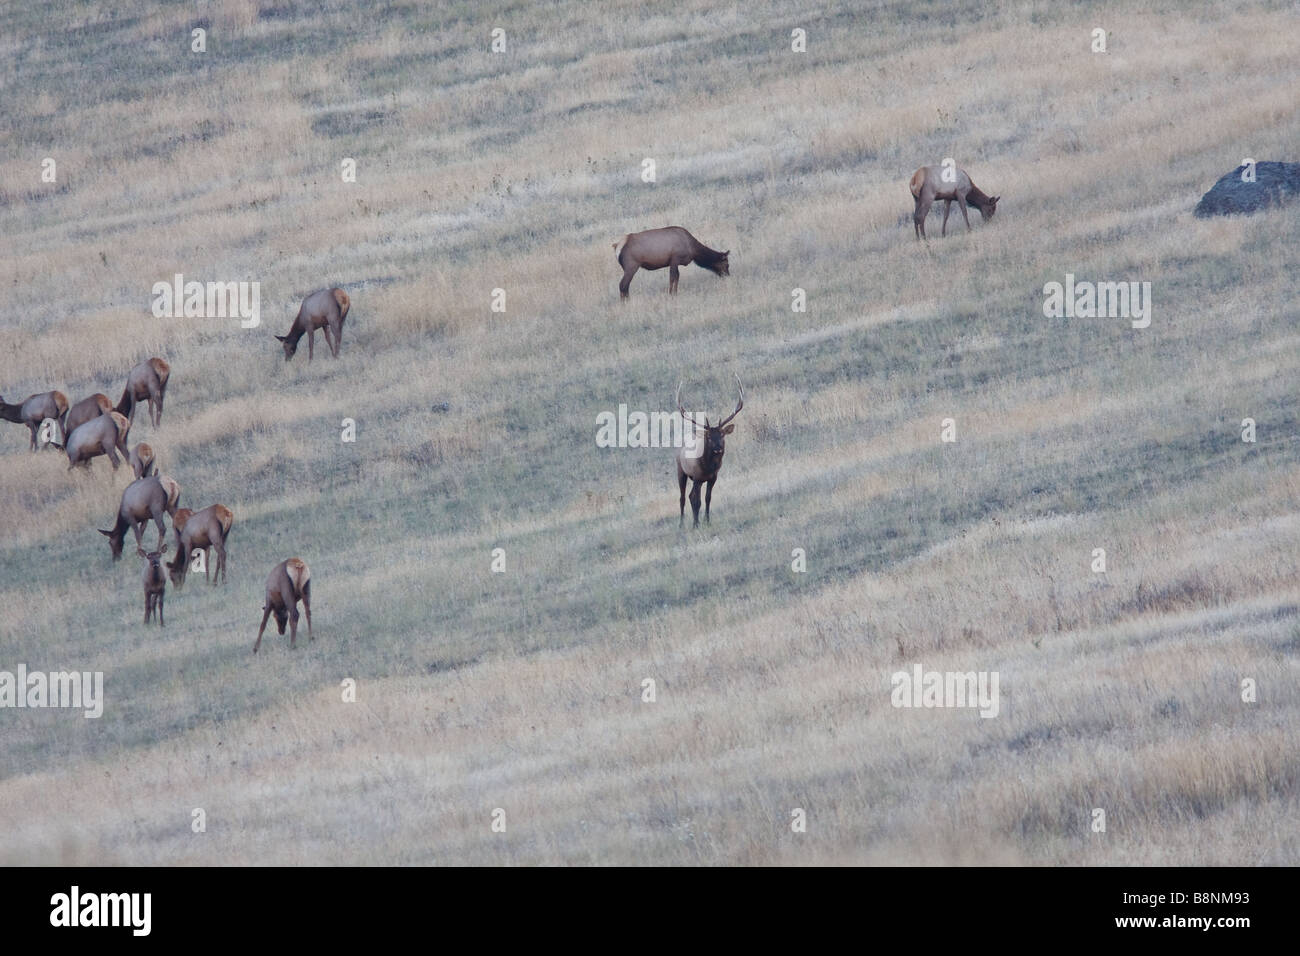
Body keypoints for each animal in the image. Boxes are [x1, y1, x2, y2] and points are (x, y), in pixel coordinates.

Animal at [675, 374, 744, 528]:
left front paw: (706, 521)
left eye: (722, 434)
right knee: (683, 497)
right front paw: (696, 524)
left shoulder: (713, 477)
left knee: (689, 496)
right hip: (681, 471)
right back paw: (681, 524)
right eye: (708, 437)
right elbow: (697, 501)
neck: (708, 467)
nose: (718, 448)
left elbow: (707, 498)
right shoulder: (696, 476)